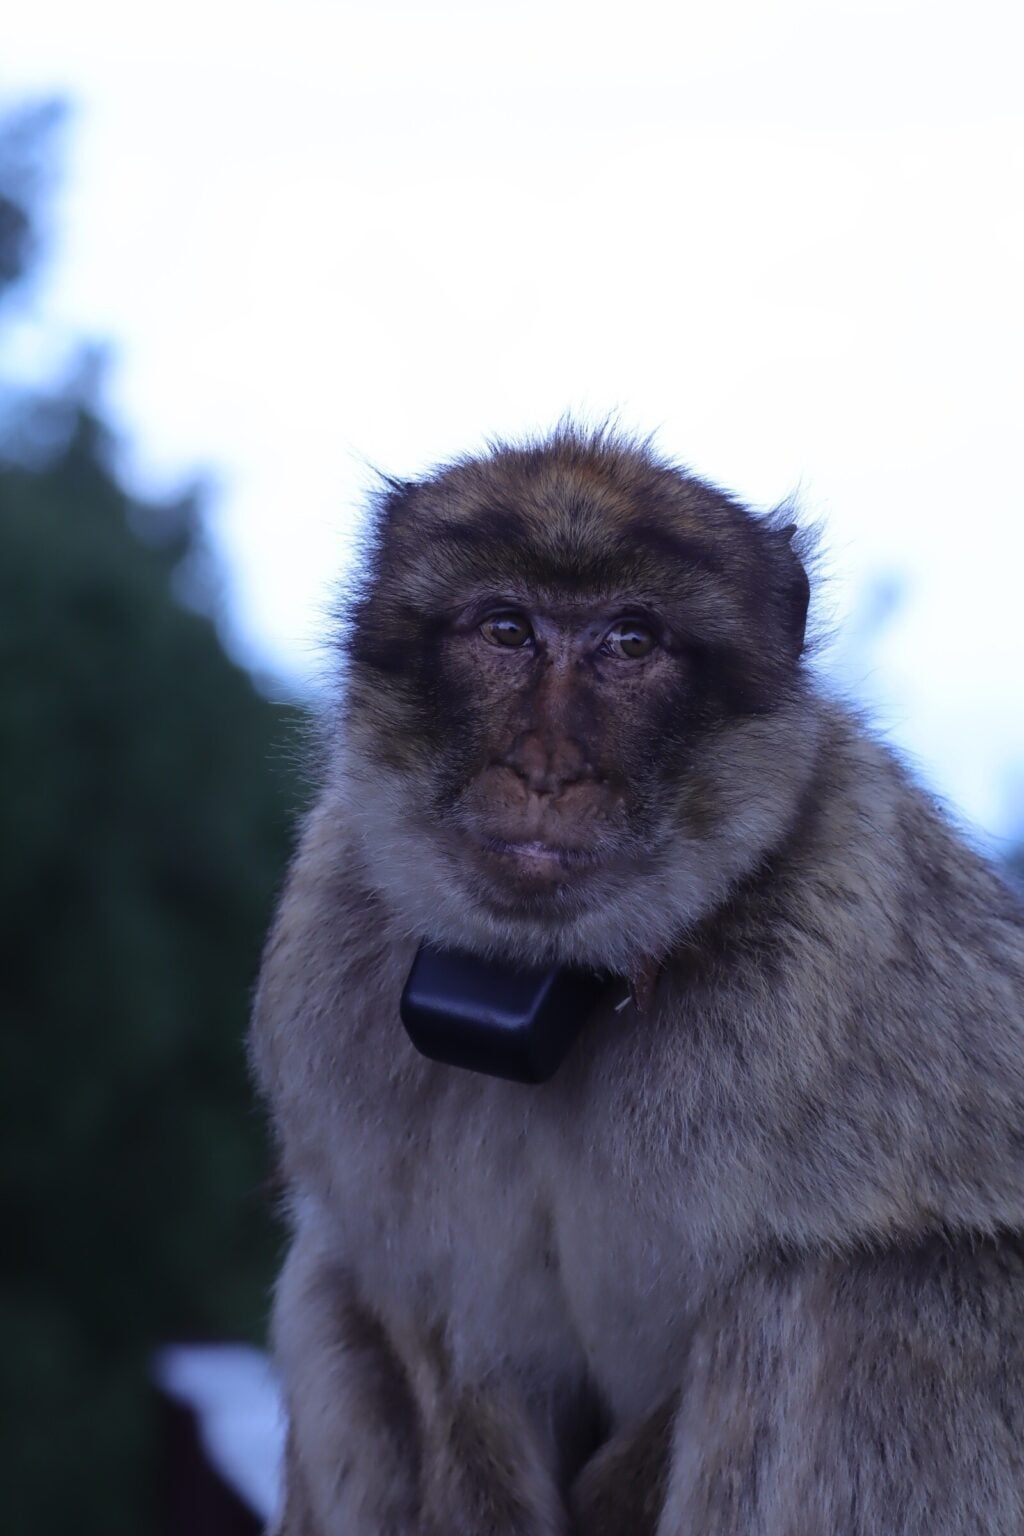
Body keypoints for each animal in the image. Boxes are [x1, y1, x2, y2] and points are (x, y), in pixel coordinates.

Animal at [250, 425, 1024, 1535]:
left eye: (630, 643)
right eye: (506, 630)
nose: (546, 768)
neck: (573, 992)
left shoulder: (833, 967)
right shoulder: (328, 975)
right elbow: (430, 1326)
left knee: (861, 1293)